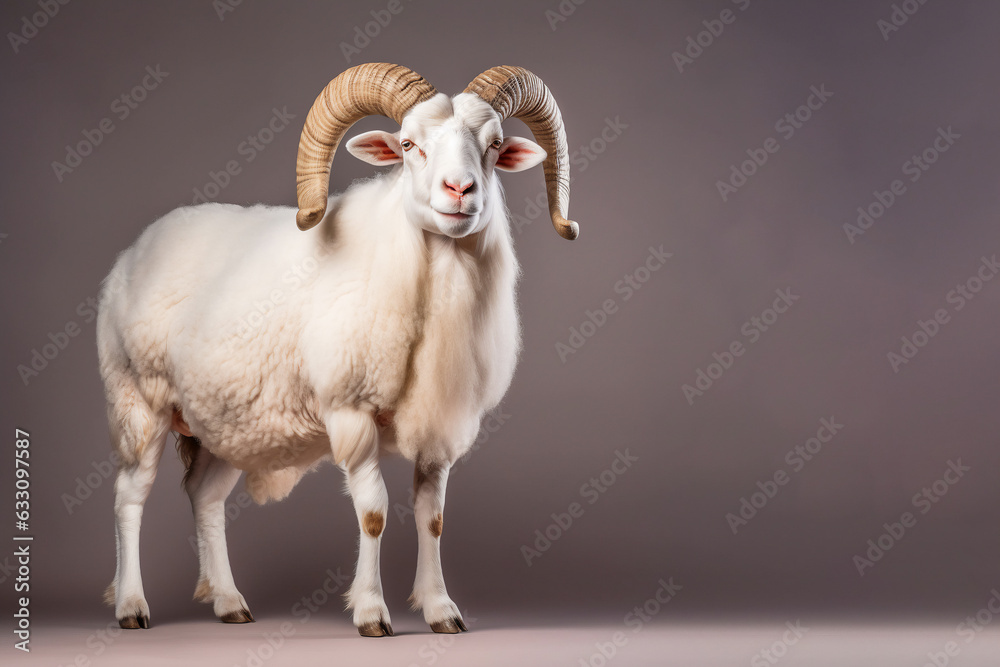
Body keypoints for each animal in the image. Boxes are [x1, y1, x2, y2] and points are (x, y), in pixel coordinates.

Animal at [97, 63, 578, 637]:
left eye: (495, 144)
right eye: (409, 144)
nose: (460, 190)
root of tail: (135, 252)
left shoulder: (438, 431)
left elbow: (433, 518)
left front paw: (441, 611)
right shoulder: (352, 413)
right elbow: (373, 513)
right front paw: (372, 613)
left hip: (226, 424)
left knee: (203, 497)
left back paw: (230, 603)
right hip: (139, 403)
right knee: (129, 497)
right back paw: (131, 606)